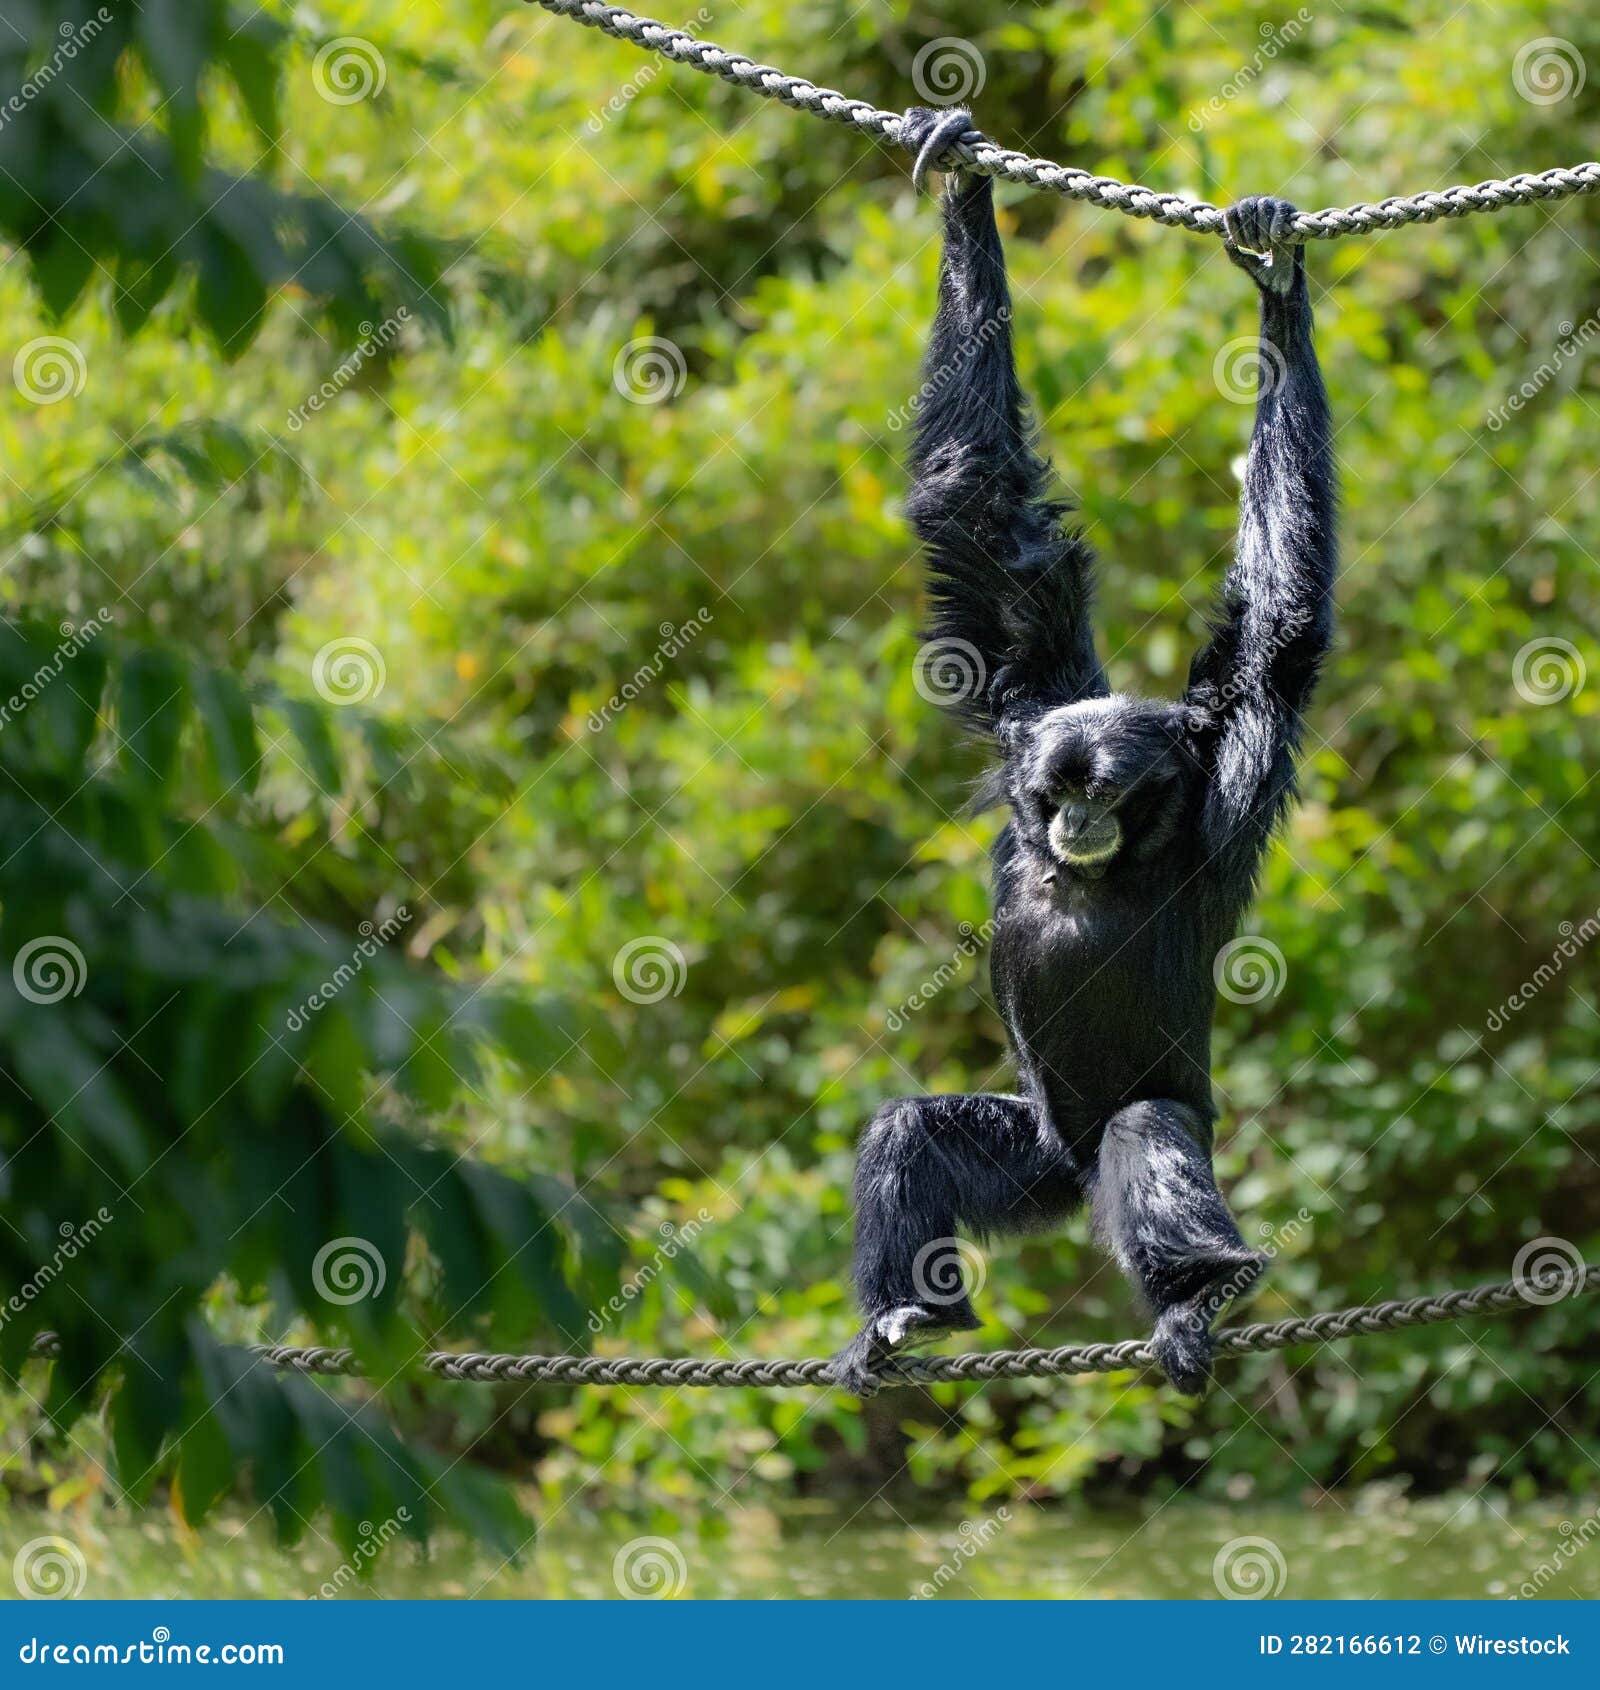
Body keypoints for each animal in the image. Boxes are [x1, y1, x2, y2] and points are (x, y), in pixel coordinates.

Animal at [832, 108, 1336, 1397]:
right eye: (1054, 793)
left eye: (1102, 792)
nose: (1069, 823)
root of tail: (1071, 1181)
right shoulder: (1027, 700)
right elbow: (978, 512)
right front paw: (960, 175)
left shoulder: (1229, 764)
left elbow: (1281, 625)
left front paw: (1277, 287)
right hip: (1034, 1159)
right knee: (914, 1131)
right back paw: (903, 1317)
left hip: (1137, 1130)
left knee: (1144, 1130)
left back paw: (1200, 1294)